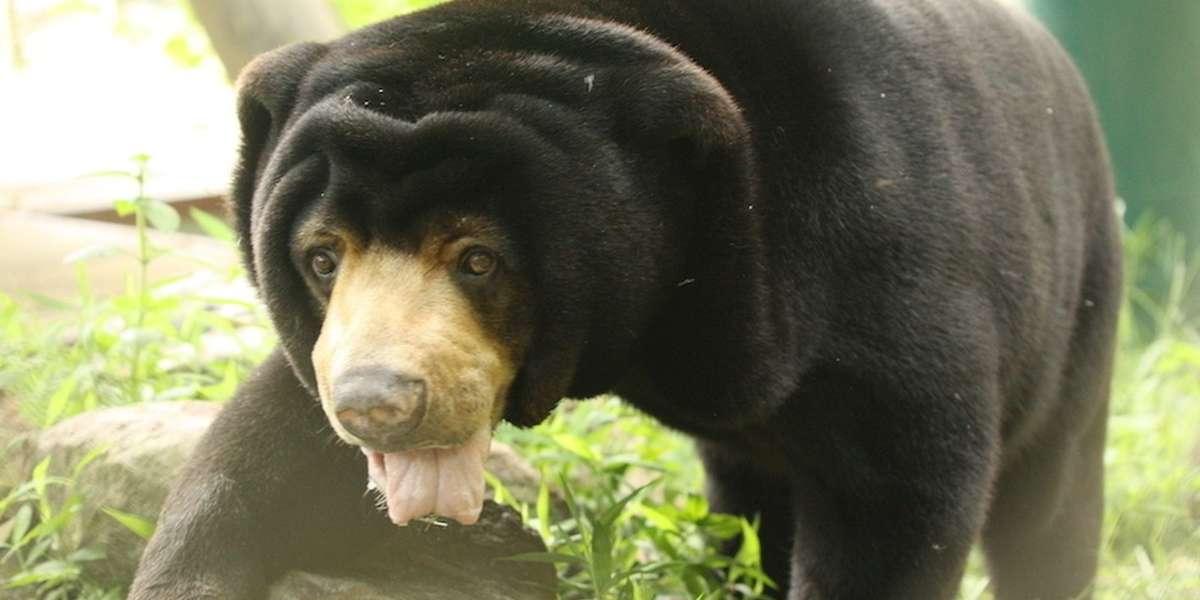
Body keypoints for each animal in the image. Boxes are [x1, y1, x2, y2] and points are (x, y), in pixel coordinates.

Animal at [129, 0, 1122, 598]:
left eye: (479, 259)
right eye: (323, 256)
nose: (379, 404)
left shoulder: (872, 269)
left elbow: (893, 494)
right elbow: (269, 443)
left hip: (1079, 300)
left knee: (1053, 497)